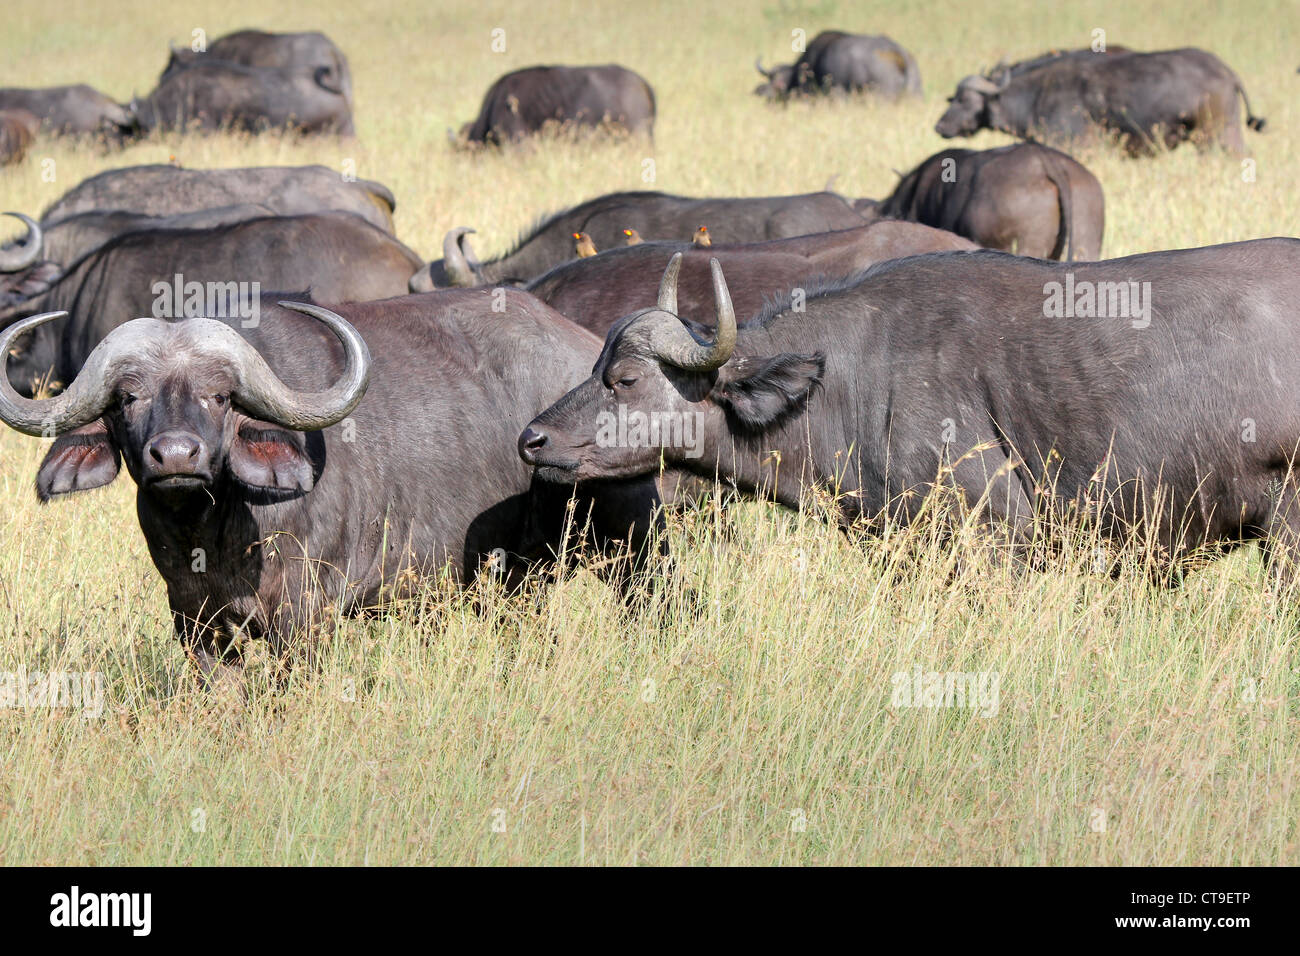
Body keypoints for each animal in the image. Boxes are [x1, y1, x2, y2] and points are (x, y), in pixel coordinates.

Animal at [0, 293, 661, 690]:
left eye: (221, 397)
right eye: (128, 398)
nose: (176, 456)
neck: (214, 531)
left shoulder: (305, 620)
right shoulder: (196, 624)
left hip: (636, 551)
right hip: (516, 581)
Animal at [936, 47, 1265, 155]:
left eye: (963, 99)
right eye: (952, 97)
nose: (939, 126)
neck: (1035, 95)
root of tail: (1227, 72)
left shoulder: (1082, 147)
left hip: (1217, 136)